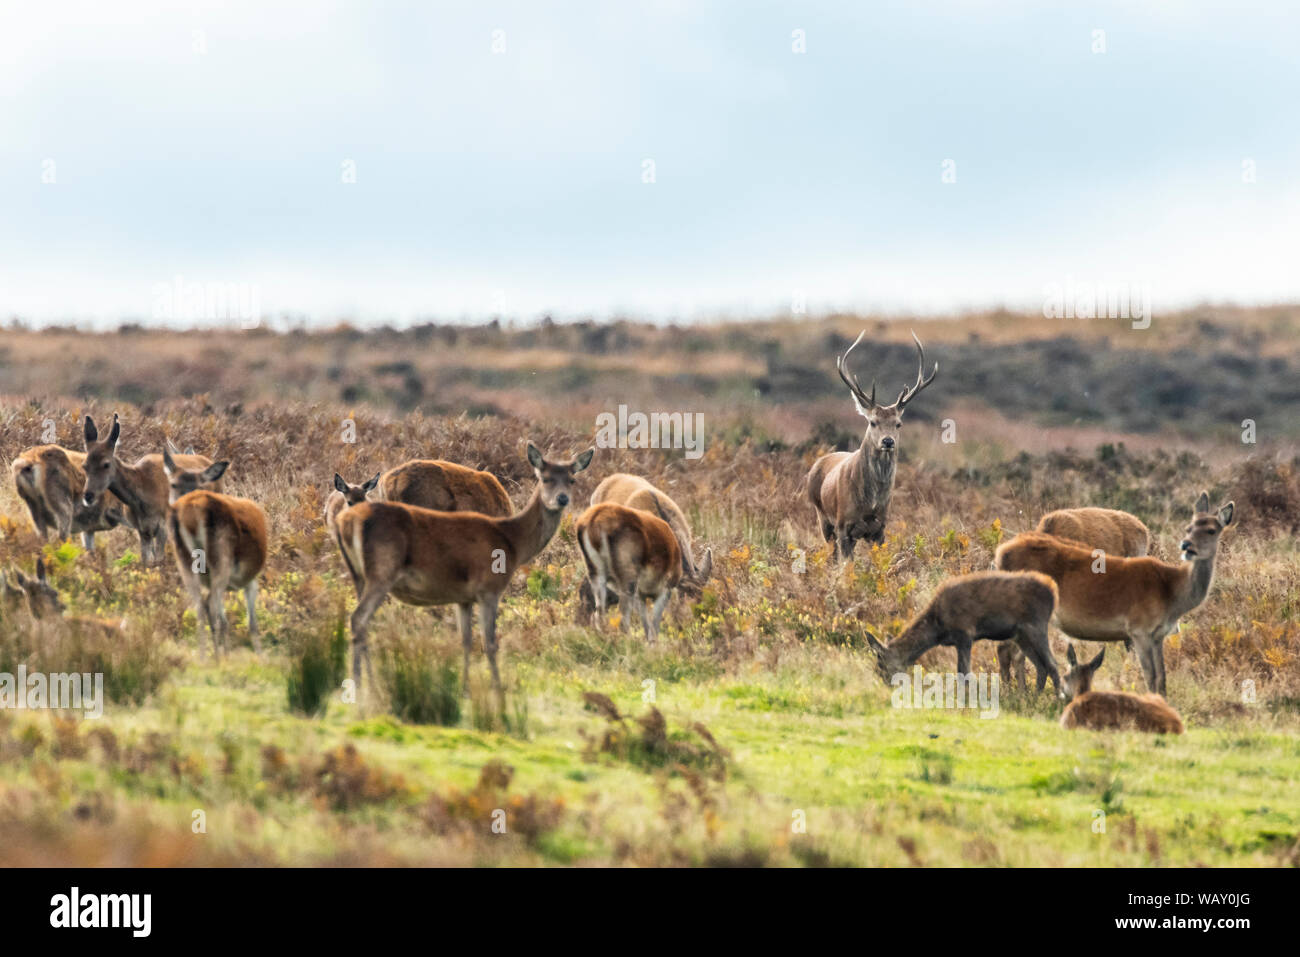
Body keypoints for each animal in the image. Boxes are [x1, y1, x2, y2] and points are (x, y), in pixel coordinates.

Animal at [80, 414, 223, 565]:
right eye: (84, 465)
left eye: (106, 464)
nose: (88, 496)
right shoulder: (142, 529)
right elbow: (146, 561)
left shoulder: (163, 525)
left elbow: (159, 560)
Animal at [165, 458, 268, 660]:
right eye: (173, 484)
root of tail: (191, 511)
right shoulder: (250, 581)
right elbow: (252, 622)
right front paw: (260, 656)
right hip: (221, 557)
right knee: (215, 610)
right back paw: (223, 658)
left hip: (184, 561)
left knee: (199, 607)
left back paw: (205, 658)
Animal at [575, 502, 682, 643]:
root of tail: (595, 516)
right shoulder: (664, 590)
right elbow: (654, 625)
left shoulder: (640, 595)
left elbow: (646, 624)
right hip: (628, 581)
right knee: (623, 621)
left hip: (597, 575)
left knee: (598, 617)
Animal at [805, 330, 938, 561]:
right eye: (872, 422)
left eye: (898, 423)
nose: (888, 441)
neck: (870, 504)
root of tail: (818, 463)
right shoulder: (843, 525)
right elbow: (846, 565)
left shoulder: (879, 529)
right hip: (822, 516)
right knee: (831, 555)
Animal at [862, 570, 1062, 695]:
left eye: (880, 664)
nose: (883, 684)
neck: (938, 628)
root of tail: (1053, 590)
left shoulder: (965, 633)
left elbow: (963, 671)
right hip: (1021, 635)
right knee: (1041, 666)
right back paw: (1032, 698)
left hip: (1036, 625)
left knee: (1052, 663)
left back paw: (1058, 700)